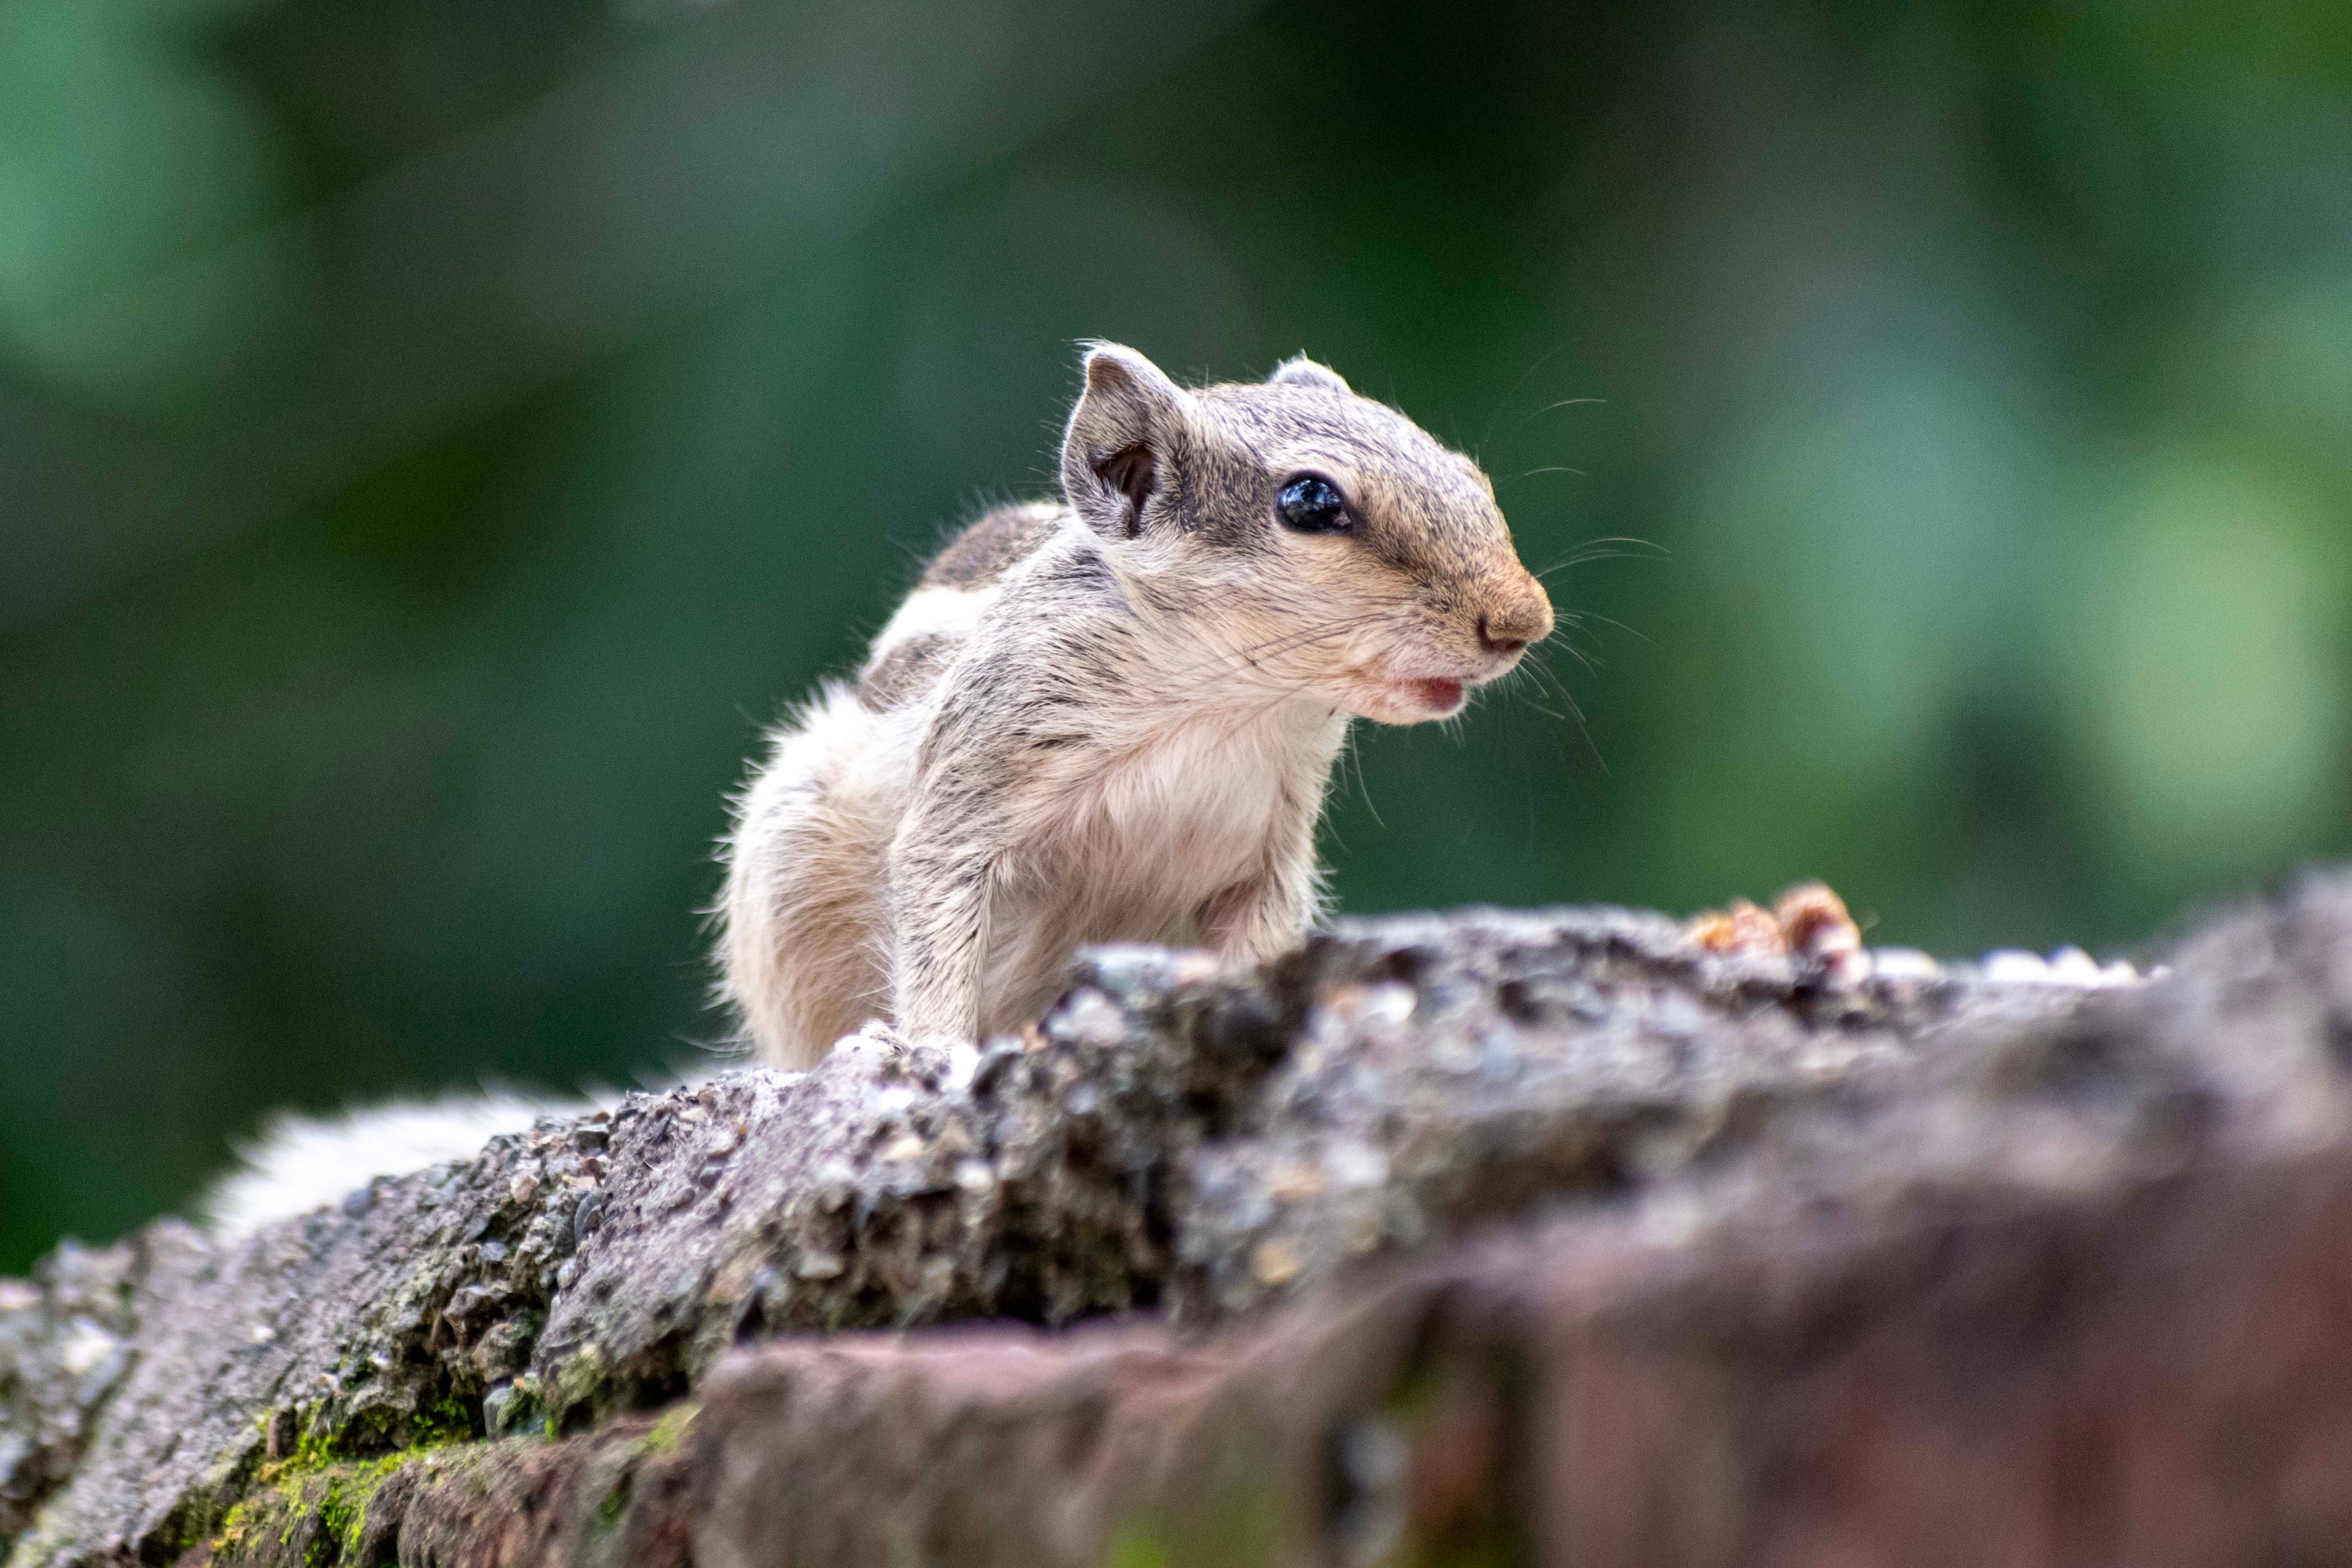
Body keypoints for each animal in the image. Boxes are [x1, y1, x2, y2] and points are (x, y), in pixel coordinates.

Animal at [718, 342, 1552, 1066]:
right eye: (1311, 500)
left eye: (1470, 475)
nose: (1525, 621)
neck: (1223, 703)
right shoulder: (972, 783)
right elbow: (935, 910)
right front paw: (931, 1048)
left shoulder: (1271, 861)